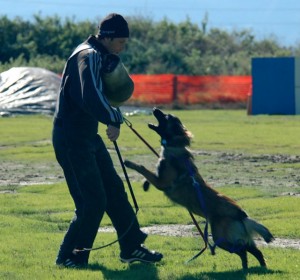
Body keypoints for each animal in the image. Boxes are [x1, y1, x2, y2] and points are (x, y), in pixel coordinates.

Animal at [123, 107, 274, 270]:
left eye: (166, 116)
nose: (155, 108)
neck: (175, 147)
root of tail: (241, 214)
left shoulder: (162, 182)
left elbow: (143, 168)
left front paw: (129, 163)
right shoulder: (159, 178)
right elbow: (148, 174)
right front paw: (145, 185)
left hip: (221, 237)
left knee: (243, 250)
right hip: (228, 238)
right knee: (250, 251)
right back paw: (252, 268)